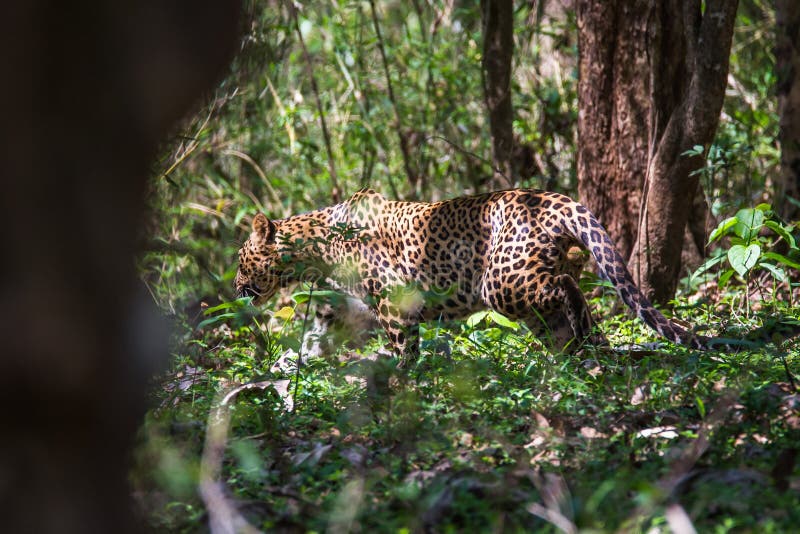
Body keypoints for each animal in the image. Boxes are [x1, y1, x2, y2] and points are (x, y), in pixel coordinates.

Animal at [235, 188, 711, 360]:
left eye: (240, 261)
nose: (236, 289)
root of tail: (555, 199)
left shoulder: (393, 301)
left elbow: (403, 348)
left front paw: (401, 382)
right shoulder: (347, 306)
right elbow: (318, 334)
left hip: (501, 284)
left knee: (563, 289)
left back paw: (583, 336)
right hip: (531, 287)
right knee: (567, 299)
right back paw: (584, 351)